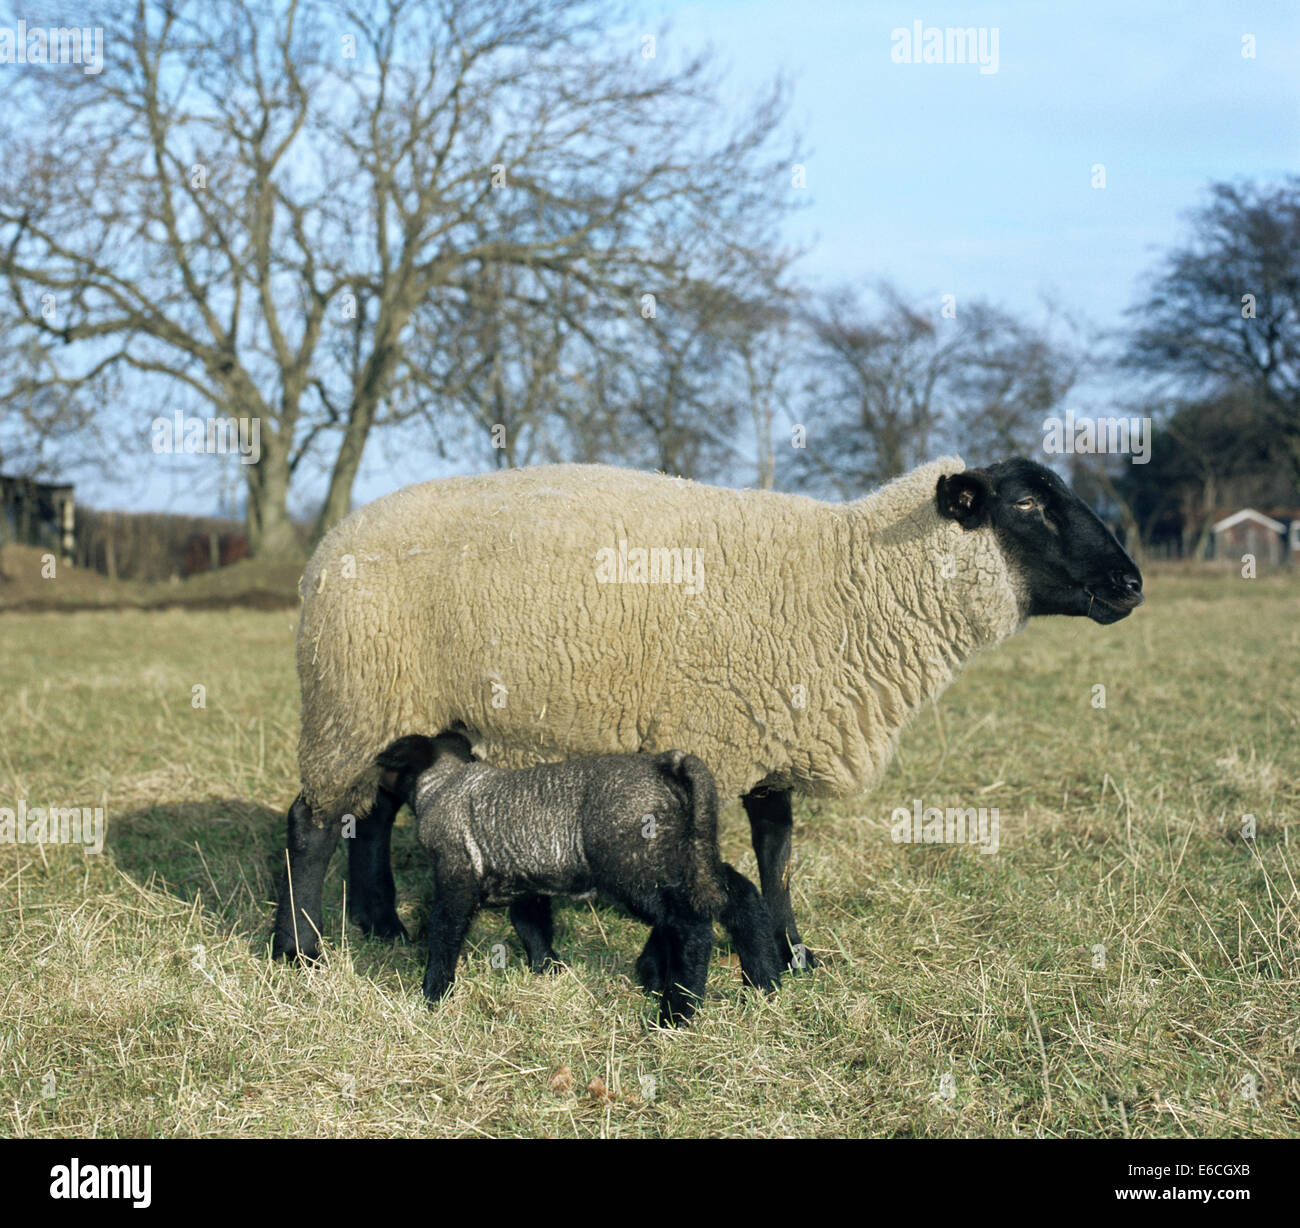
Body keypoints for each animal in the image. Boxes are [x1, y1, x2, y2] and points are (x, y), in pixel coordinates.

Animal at [273, 455, 1143, 966]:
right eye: (1027, 506)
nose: (1130, 584)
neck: (851, 579)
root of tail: (327, 543)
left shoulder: (773, 738)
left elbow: (777, 853)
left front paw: (795, 954)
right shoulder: (716, 742)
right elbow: (719, 865)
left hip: (402, 711)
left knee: (375, 813)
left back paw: (381, 925)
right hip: (351, 699)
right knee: (311, 823)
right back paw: (301, 948)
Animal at [374, 732, 784, 1025]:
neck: (443, 785)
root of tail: (669, 764)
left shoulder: (456, 877)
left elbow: (444, 935)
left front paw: (432, 997)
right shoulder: (528, 882)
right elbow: (532, 927)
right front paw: (549, 972)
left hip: (636, 866)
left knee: (689, 923)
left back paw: (678, 1014)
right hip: (689, 854)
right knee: (740, 897)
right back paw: (764, 984)